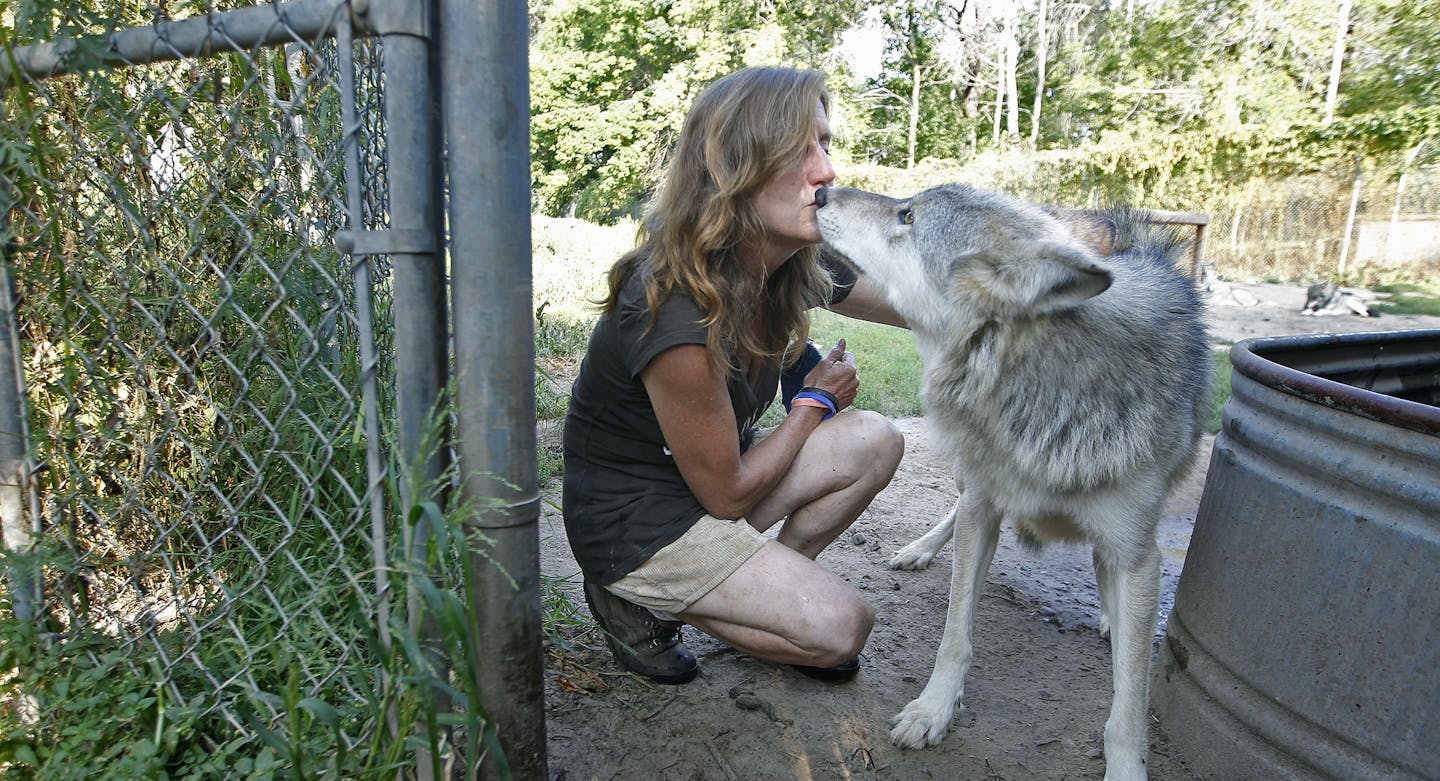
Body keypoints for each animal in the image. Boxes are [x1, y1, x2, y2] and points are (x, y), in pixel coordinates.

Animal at [816, 184, 1211, 781]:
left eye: (908, 216)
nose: (819, 191)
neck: (1039, 390)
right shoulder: (982, 509)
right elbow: (955, 635)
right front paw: (933, 711)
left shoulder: (1136, 553)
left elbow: (1129, 704)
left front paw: (1125, 766)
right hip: (967, 474)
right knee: (954, 510)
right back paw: (919, 549)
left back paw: (1110, 616)